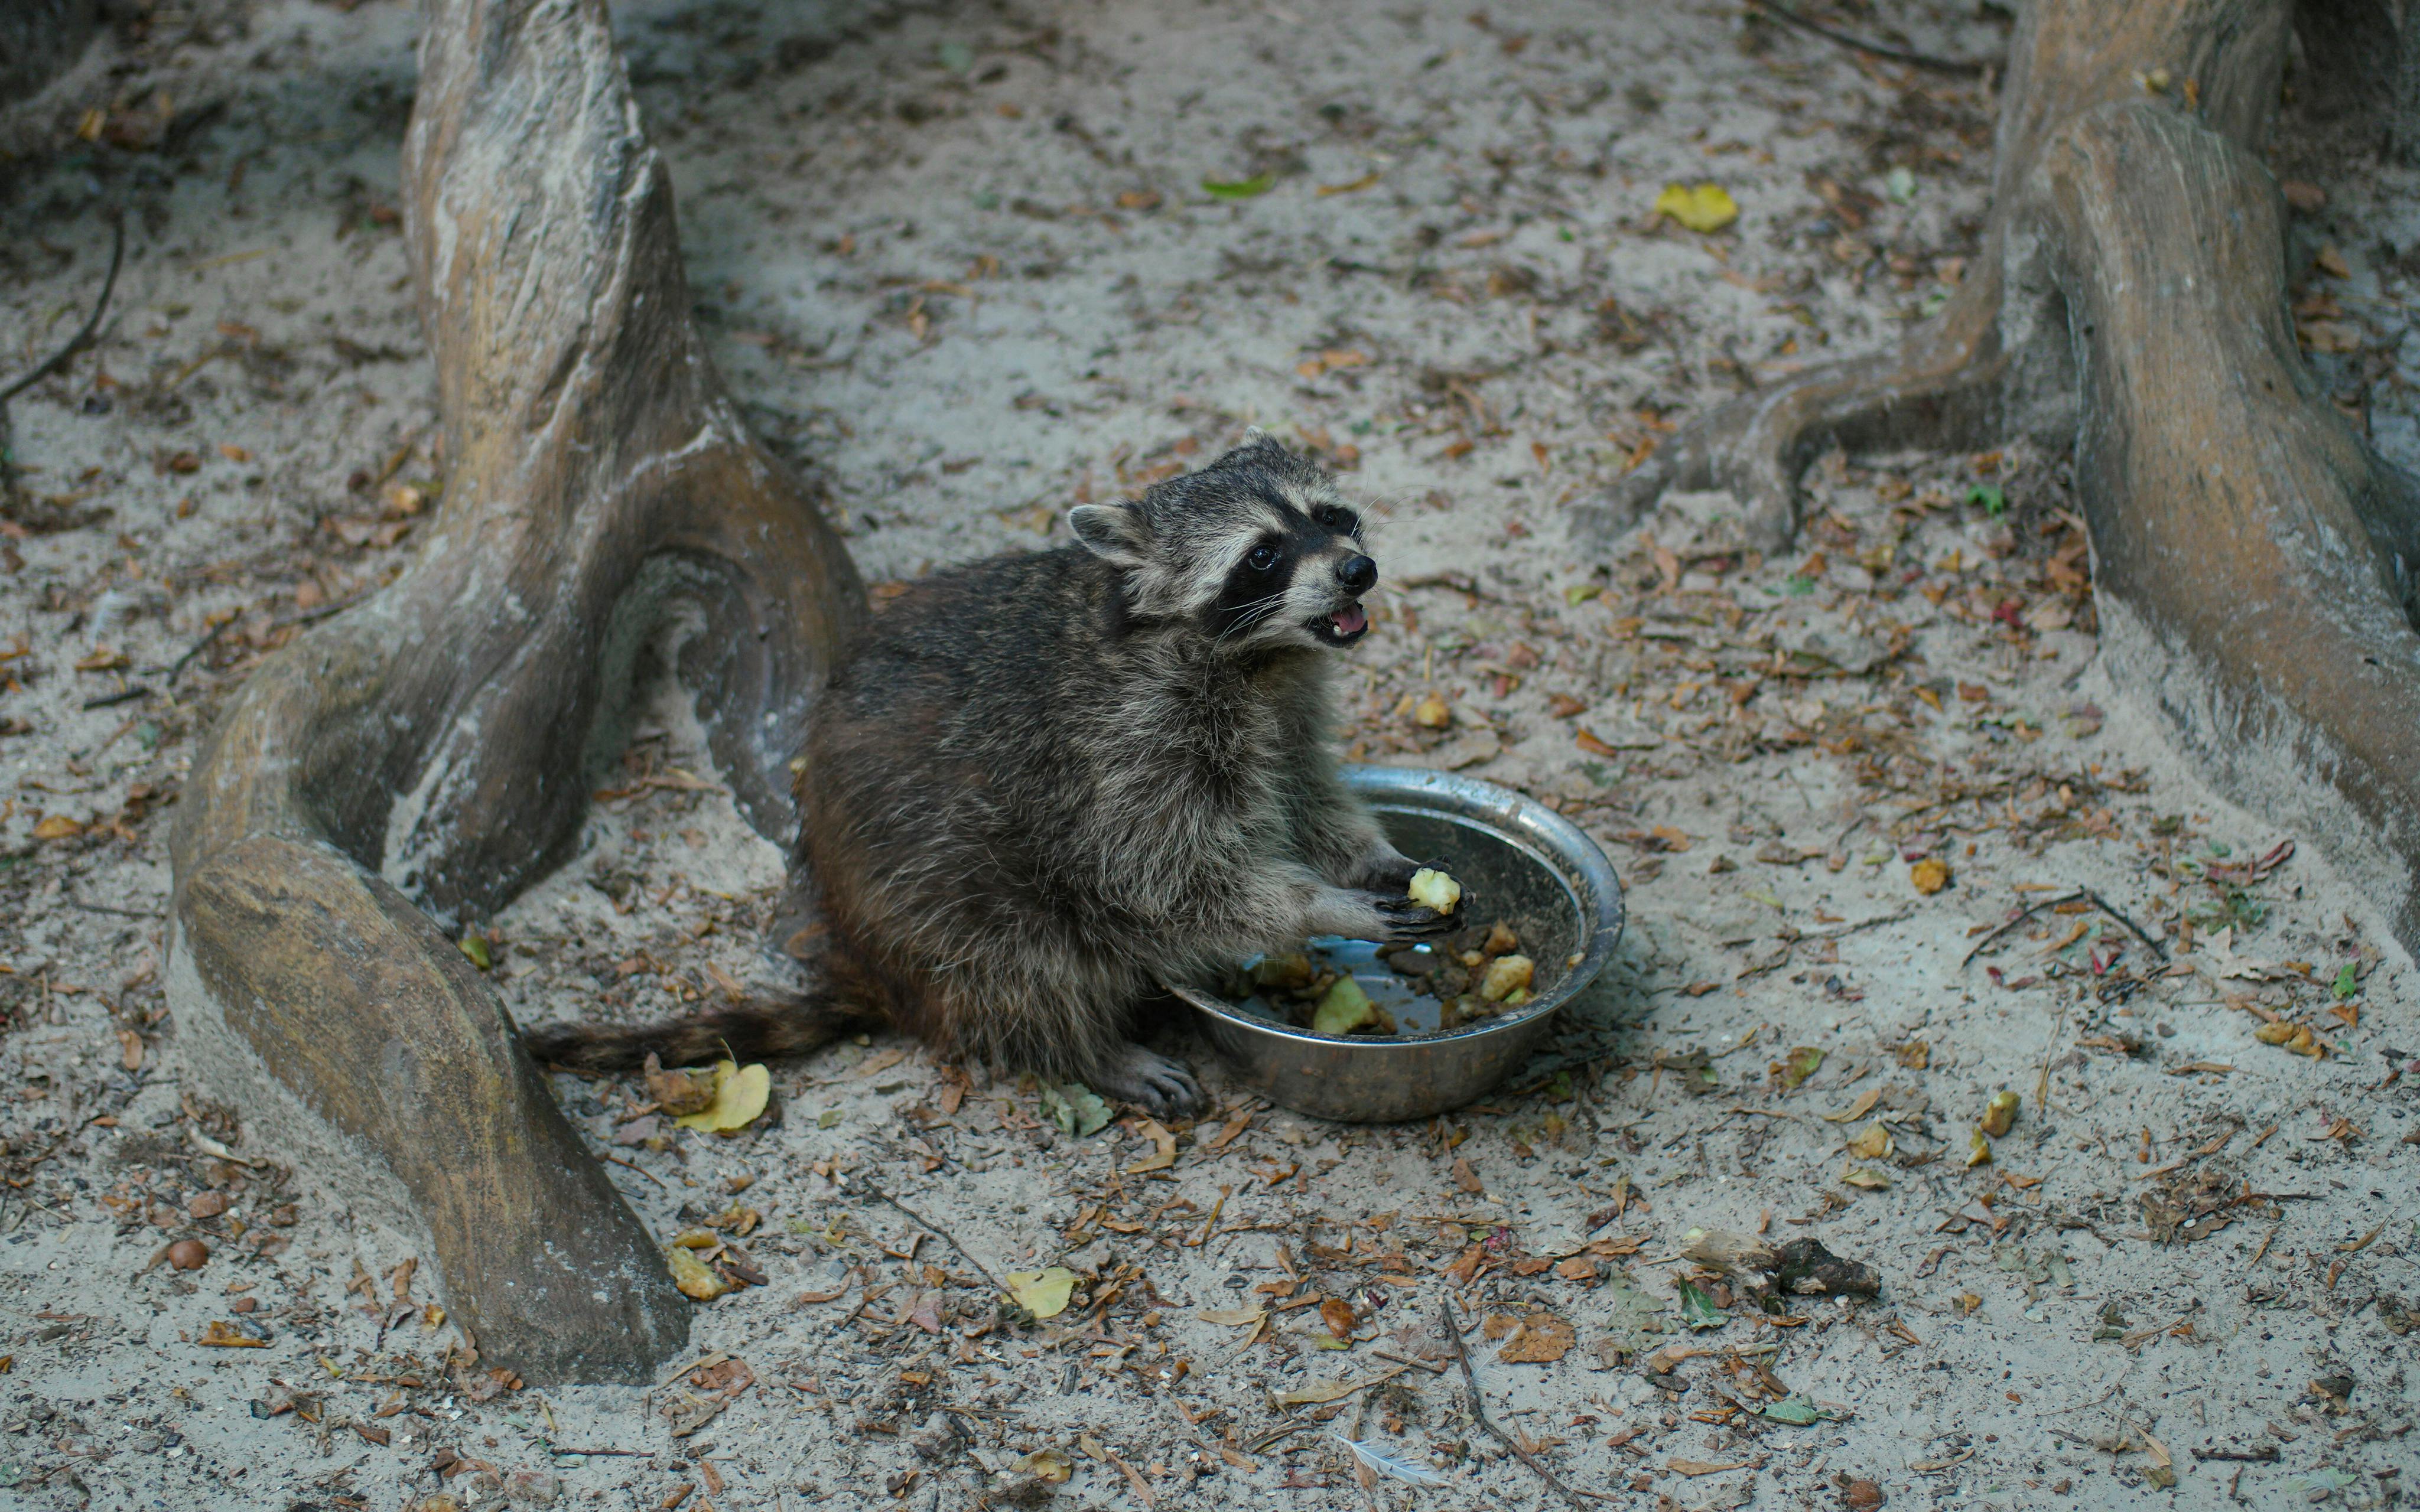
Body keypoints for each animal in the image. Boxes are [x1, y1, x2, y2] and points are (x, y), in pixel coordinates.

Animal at [525, 433, 1457, 1115]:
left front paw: (1369, 859)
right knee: (1022, 958)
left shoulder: (1286, 704)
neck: (1254, 658)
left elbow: (1303, 790)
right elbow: (1165, 877)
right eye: (1263, 555)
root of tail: (875, 967)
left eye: (1332, 515)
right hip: (941, 896)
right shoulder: (1125, 746)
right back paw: (1089, 1049)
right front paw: (1318, 904)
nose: (1357, 568)